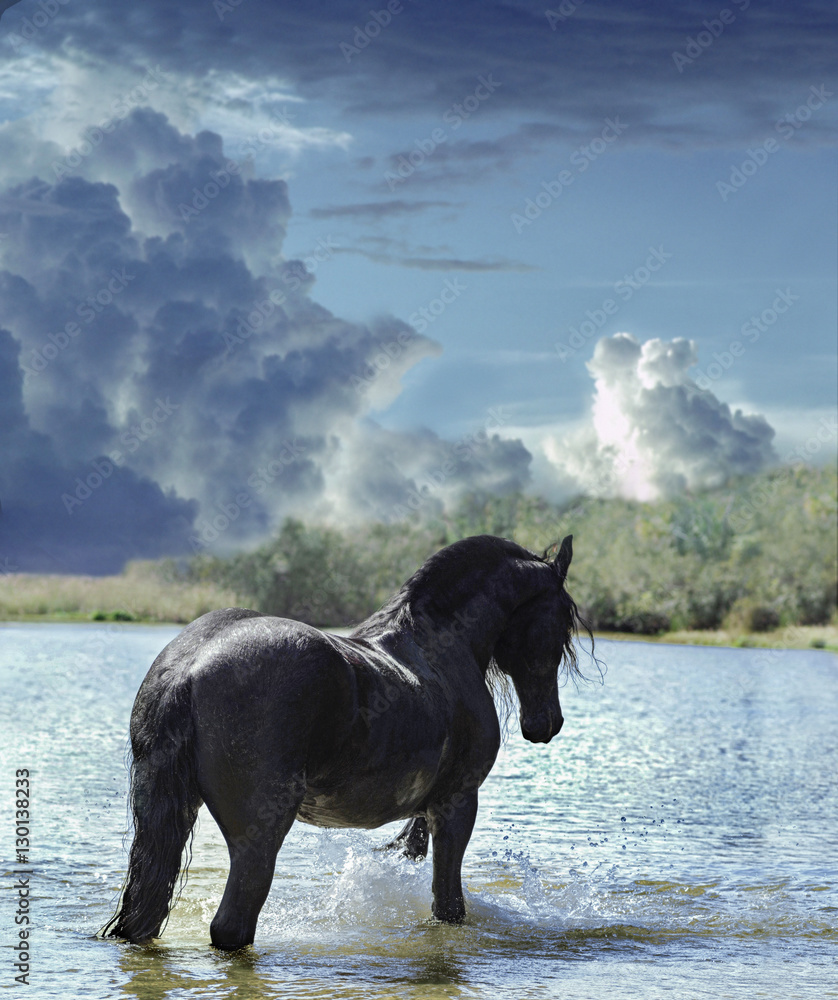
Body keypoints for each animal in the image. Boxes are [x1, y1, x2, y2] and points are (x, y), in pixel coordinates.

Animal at [102, 533, 590, 950]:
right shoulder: (457, 802)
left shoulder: (426, 810)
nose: (547, 723)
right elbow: (448, 907)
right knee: (231, 927)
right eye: (561, 623)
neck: (440, 646)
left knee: (143, 919)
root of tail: (193, 664)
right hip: (259, 837)